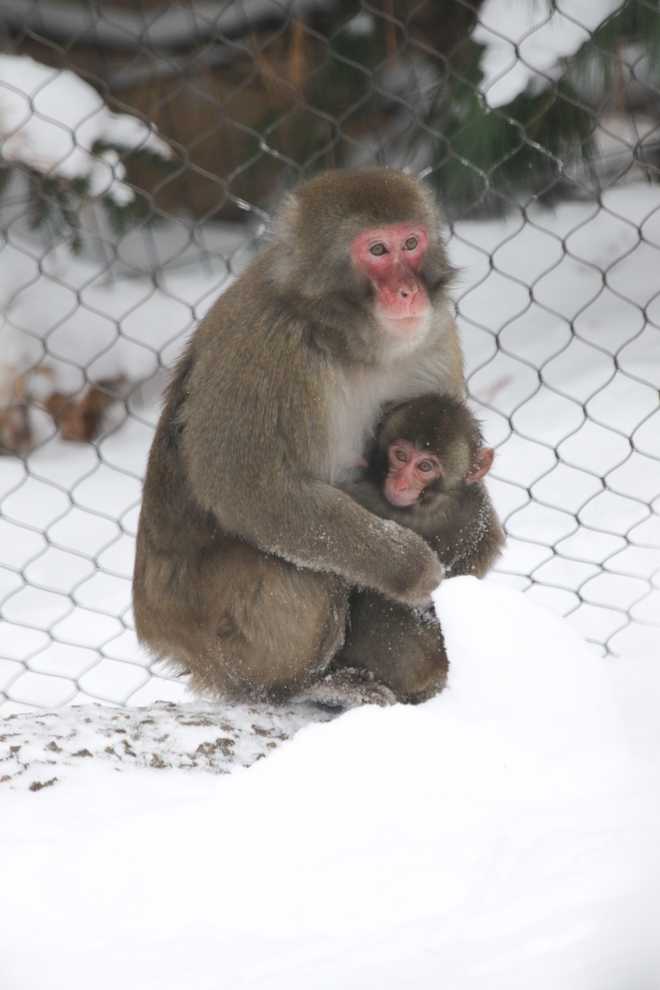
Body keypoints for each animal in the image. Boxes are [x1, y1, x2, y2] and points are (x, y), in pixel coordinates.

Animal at [133, 167, 465, 703]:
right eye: (377, 250)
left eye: (411, 243)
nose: (407, 291)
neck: (350, 342)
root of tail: (156, 630)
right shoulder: (264, 348)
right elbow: (249, 490)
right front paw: (409, 566)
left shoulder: (435, 341)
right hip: (218, 636)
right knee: (304, 568)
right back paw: (312, 687)